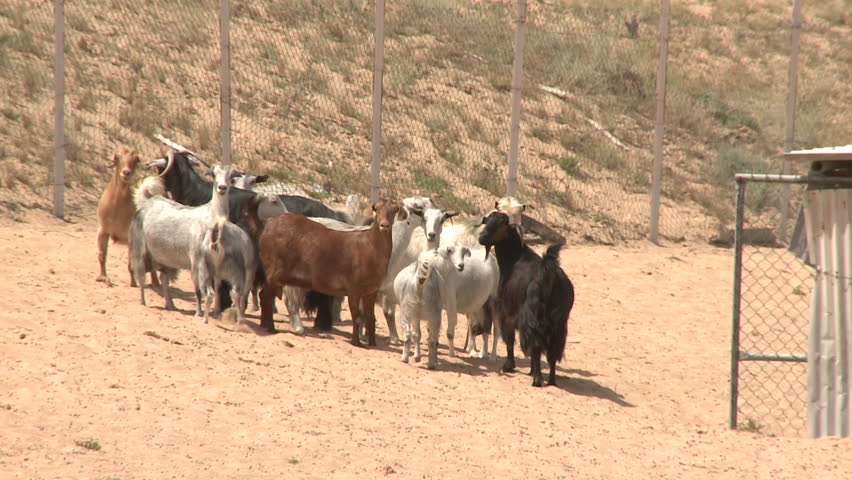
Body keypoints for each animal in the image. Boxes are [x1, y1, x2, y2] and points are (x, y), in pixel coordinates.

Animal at [95, 146, 159, 287]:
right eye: (117, 157)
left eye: (136, 159)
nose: (126, 173)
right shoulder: (103, 230)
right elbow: (102, 255)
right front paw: (103, 278)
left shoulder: (131, 237)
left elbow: (131, 264)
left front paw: (133, 283)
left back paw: (155, 282)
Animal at [245, 196, 405, 347]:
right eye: (376, 208)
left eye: (395, 209)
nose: (384, 225)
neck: (370, 245)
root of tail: (265, 225)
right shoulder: (354, 288)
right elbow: (357, 316)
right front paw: (357, 342)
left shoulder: (371, 291)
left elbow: (370, 317)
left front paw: (372, 343)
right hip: (275, 273)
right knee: (266, 296)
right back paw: (271, 328)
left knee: (264, 296)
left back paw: (265, 325)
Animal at [478, 211, 574, 387]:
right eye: (487, 221)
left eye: (500, 225)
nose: (482, 237)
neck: (515, 258)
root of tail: (550, 272)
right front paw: (529, 370)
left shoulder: (507, 311)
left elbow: (509, 338)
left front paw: (509, 366)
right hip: (559, 321)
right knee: (553, 348)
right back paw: (551, 379)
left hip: (532, 316)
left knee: (535, 343)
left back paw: (537, 379)